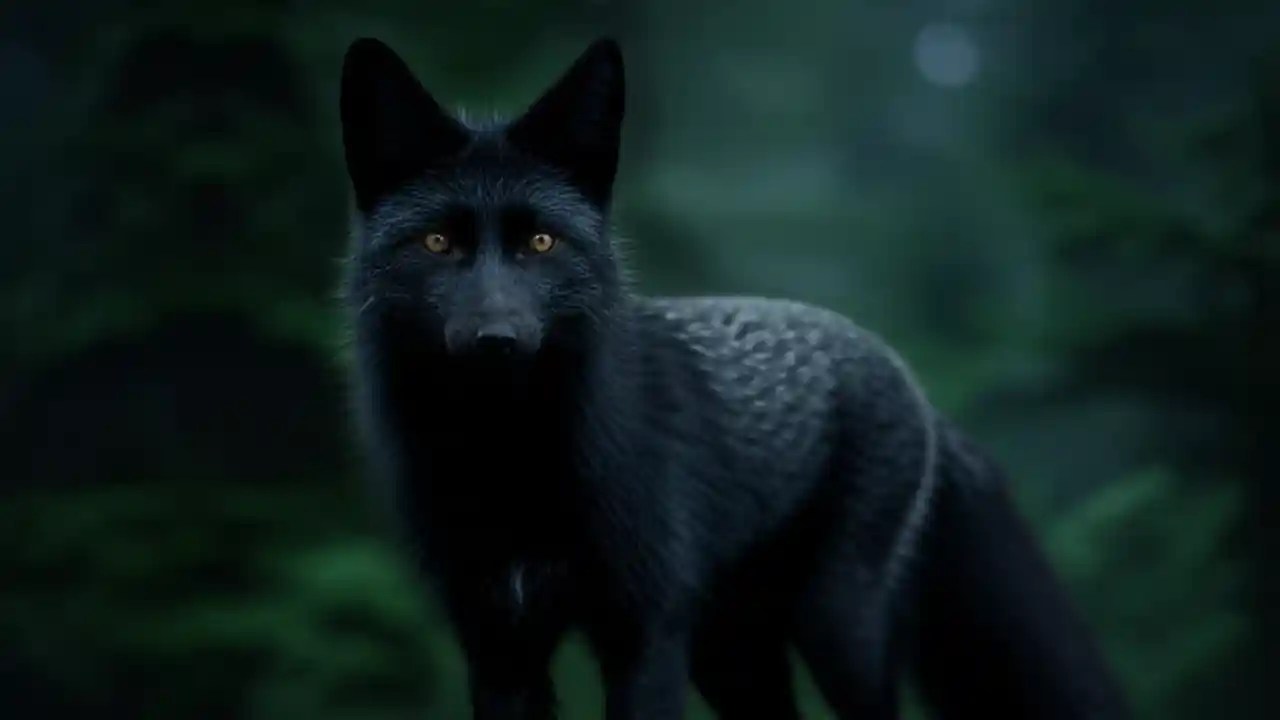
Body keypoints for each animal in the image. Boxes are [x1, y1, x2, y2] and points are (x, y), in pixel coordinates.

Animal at [338, 36, 1130, 720]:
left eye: (540, 242)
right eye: (437, 243)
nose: (496, 340)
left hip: (838, 629)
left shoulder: (644, 635)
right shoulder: (499, 645)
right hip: (733, 657)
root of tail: (912, 383)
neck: (512, 466)